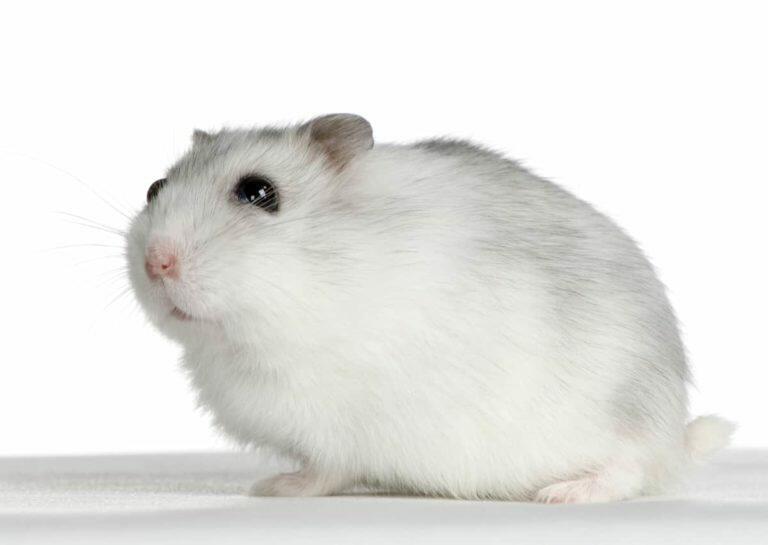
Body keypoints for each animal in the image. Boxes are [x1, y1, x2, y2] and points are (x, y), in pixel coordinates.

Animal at [126, 114, 733, 502]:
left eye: (258, 192)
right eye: (154, 187)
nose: (157, 263)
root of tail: (671, 434)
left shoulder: (334, 425)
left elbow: (323, 471)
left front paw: (273, 489)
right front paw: (271, 485)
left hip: (620, 421)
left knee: (630, 470)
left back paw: (563, 494)